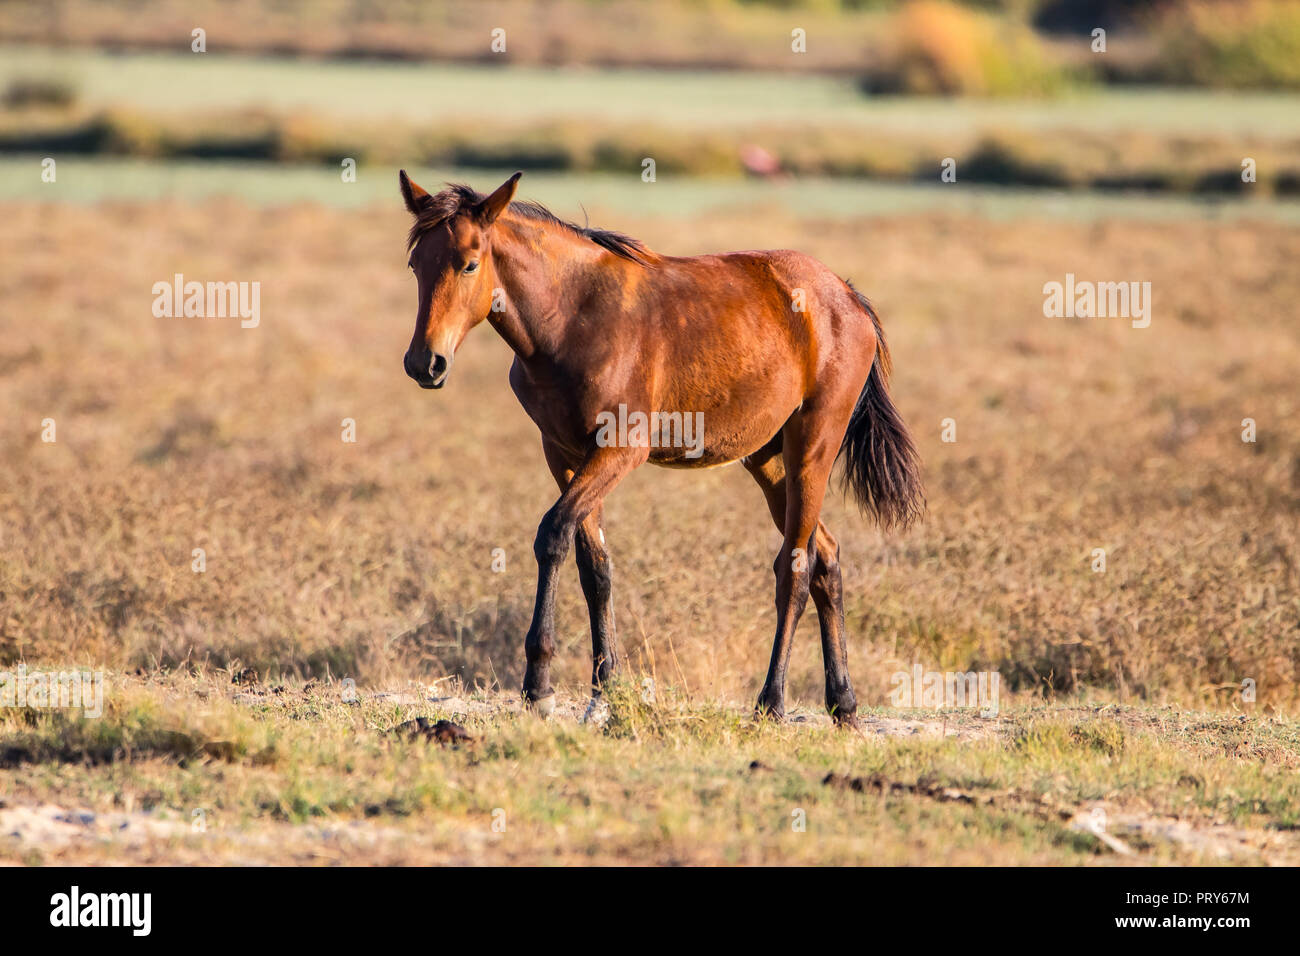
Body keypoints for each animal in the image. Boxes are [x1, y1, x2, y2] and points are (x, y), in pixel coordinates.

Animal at [397, 170, 924, 724]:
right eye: (416, 264)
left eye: (469, 262)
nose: (424, 363)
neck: (573, 316)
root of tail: (846, 294)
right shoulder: (563, 454)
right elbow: (595, 566)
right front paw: (604, 689)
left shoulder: (618, 450)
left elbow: (553, 535)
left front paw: (539, 686)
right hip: (767, 459)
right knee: (826, 557)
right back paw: (843, 702)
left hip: (812, 447)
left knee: (795, 569)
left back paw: (772, 701)